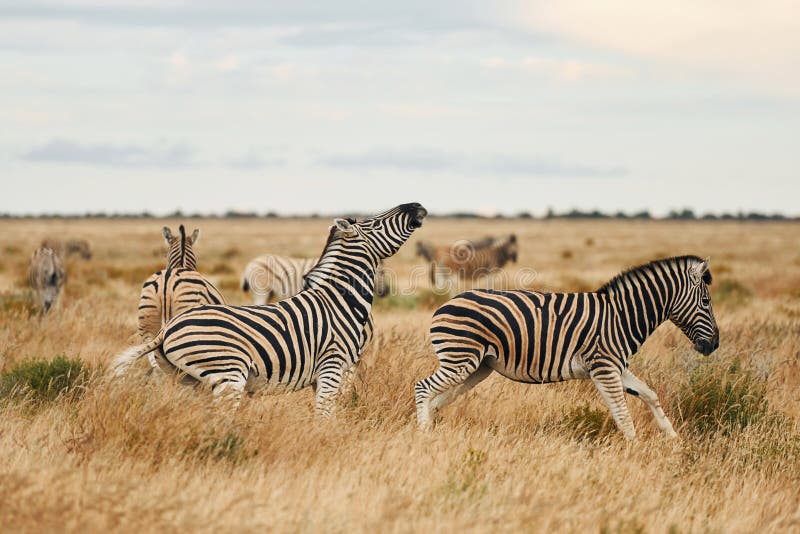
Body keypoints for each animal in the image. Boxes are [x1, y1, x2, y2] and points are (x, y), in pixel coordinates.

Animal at [415, 255, 719, 440]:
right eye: (706, 302)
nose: (714, 345)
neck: (621, 316)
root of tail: (445, 304)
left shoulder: (617, 368)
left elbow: (650, 395)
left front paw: (673, 438)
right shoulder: (604, 368)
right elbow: (623, 416)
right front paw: (635, 452)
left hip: (477, 366)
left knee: (438, 399)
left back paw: (432, 429)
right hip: (460, 361)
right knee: (423, 388)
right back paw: (424, 434)